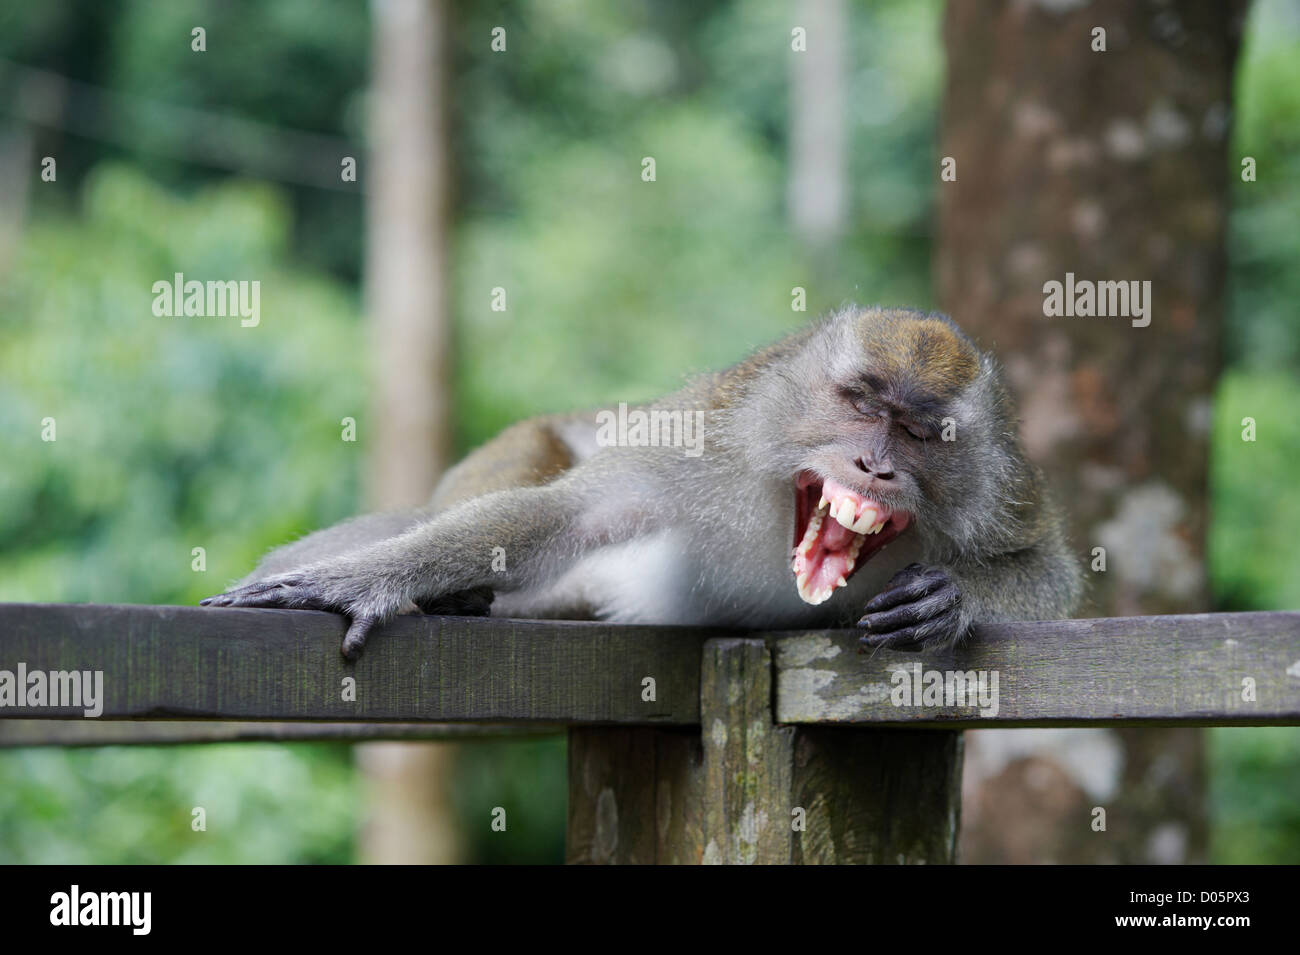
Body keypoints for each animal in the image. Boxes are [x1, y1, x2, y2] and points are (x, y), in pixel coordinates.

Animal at [202, 306, 1083, 659]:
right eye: (862, 405)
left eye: (919, 433)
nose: (876, 466)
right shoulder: (703, 441)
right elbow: (565, 514)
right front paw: (358, 584)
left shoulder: (999, 489)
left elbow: (1050, 569)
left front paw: (949, 600)